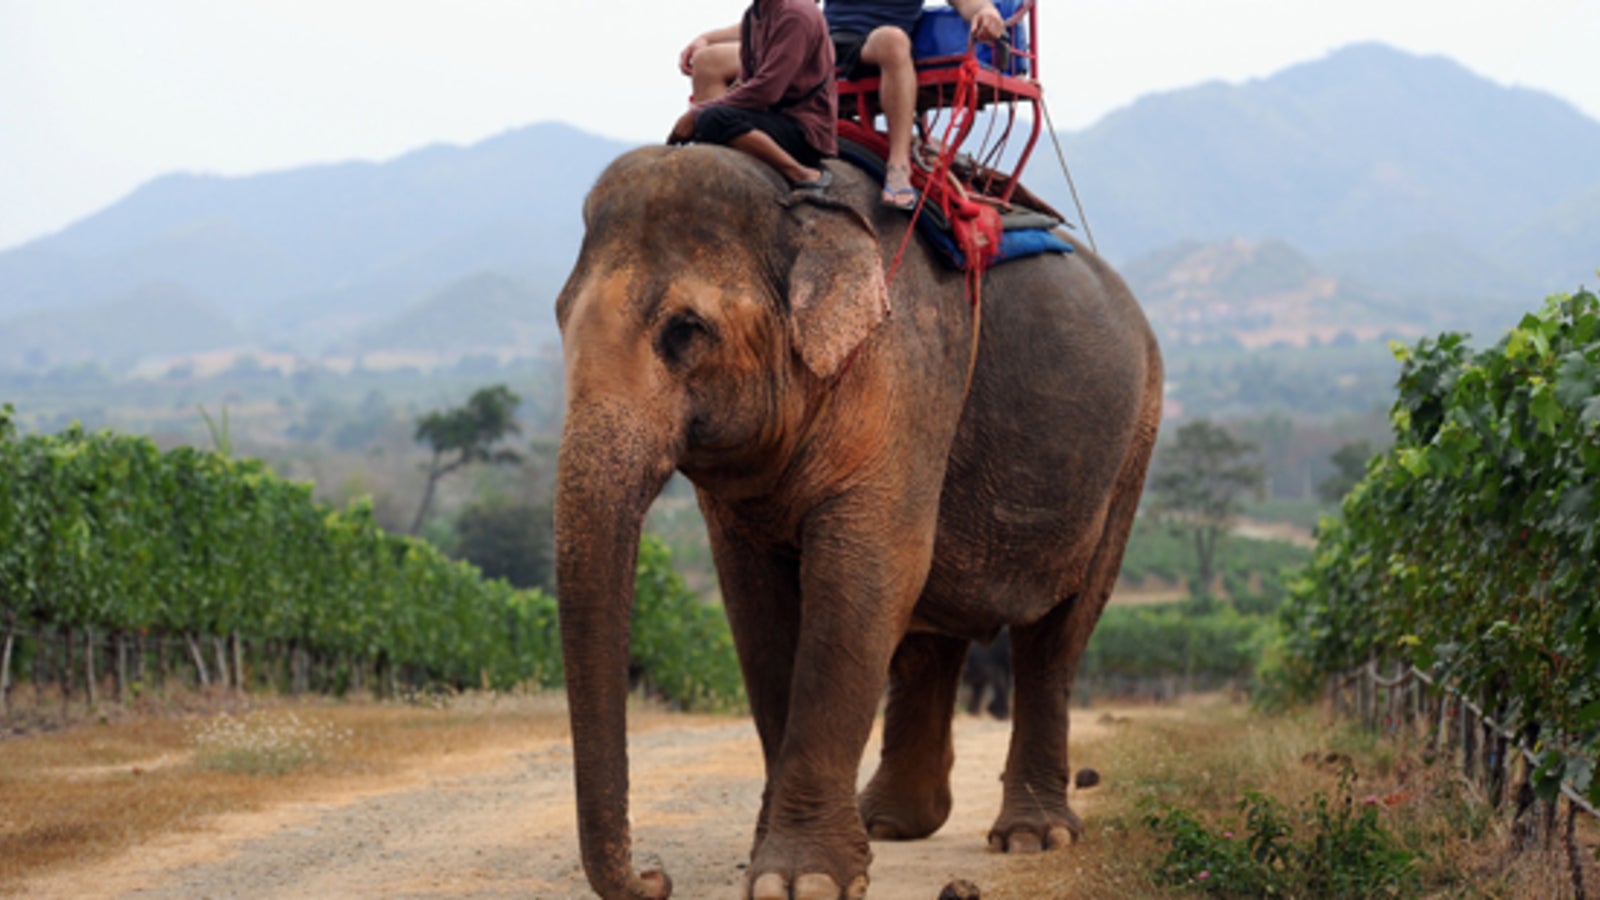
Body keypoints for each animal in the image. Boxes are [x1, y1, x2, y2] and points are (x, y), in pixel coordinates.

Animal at [554, 143, 1163, 900]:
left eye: (684, 331)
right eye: (559, 321)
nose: (655, 877)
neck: (793, 207)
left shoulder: (901, 369)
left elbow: (862, 576)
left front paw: (801, 881)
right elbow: (756, 607)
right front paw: (773, 862)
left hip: (1130, 448)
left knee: (1057, 634)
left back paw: (1030, 837)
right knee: (934, 632)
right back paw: (893, 823)